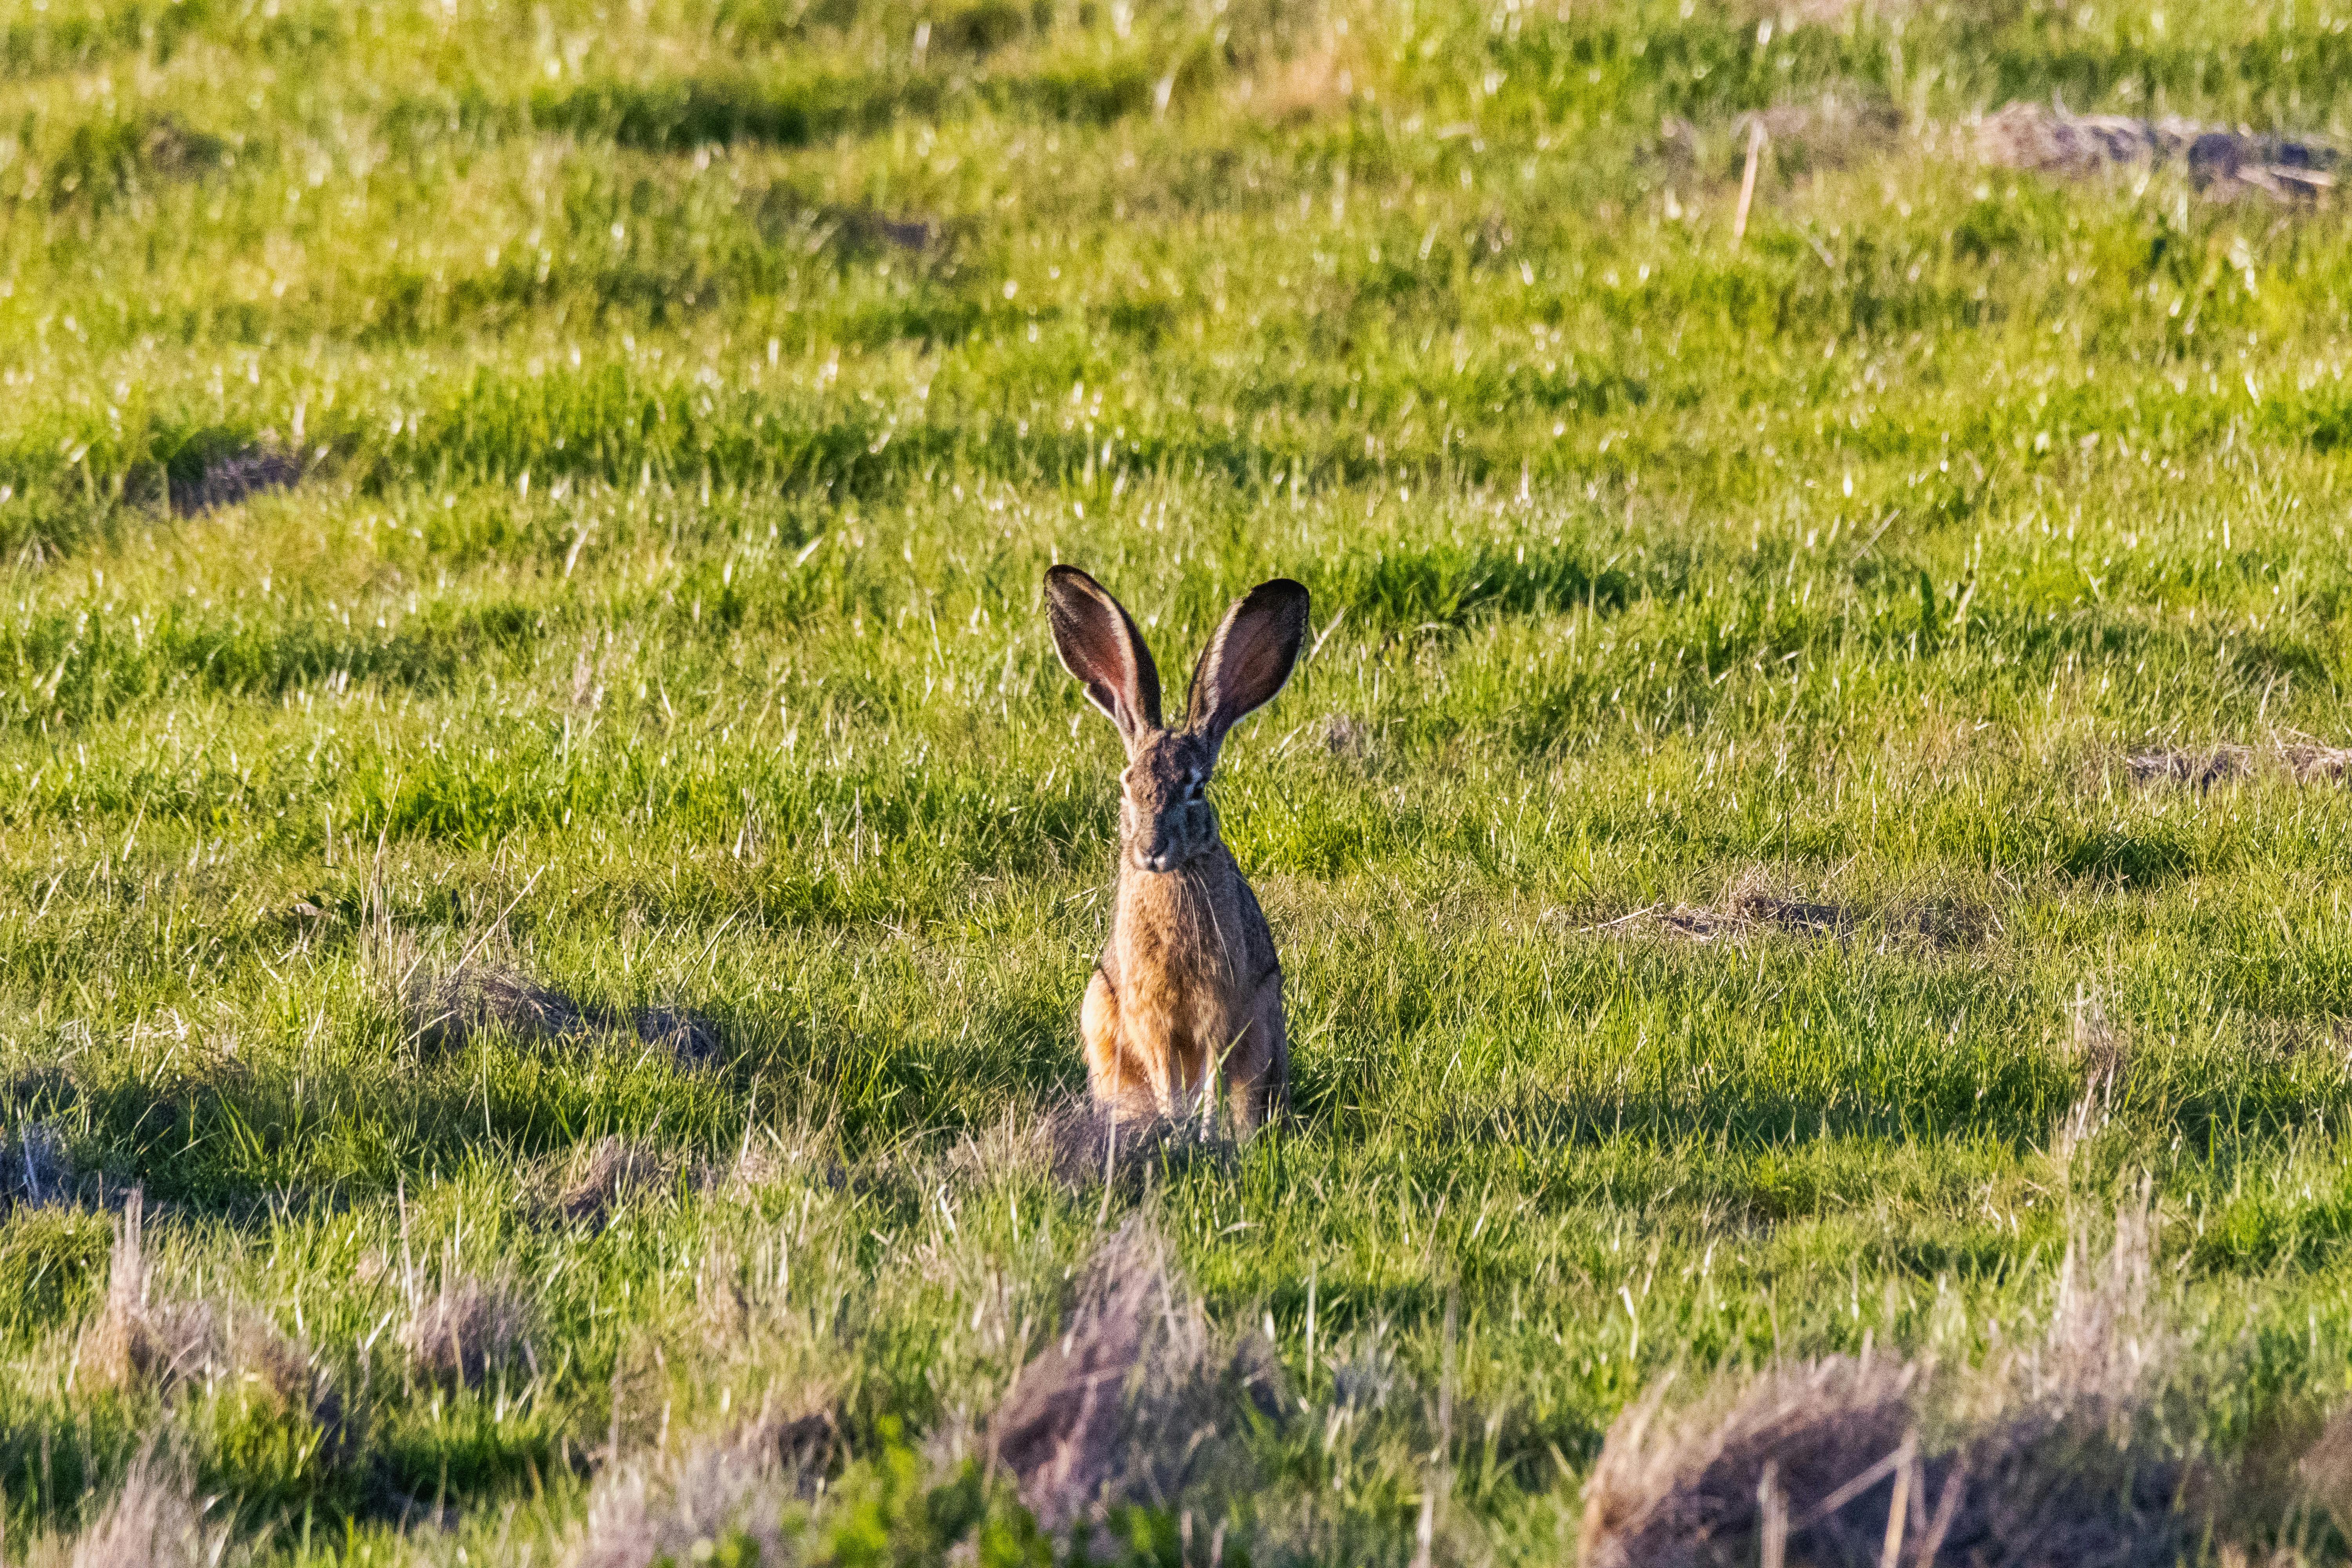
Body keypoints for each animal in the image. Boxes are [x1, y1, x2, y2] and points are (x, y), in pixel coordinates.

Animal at [1044, 565, 1310, 1134]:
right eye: (1127, 785)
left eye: (1196, 789)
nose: (1151, 850)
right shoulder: (1152, 1020)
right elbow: (1167, 1075)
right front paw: (1175, 1128)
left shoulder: (1221, 1015)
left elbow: (1210, 1078)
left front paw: (1202, 1133)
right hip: (1100, 1009)